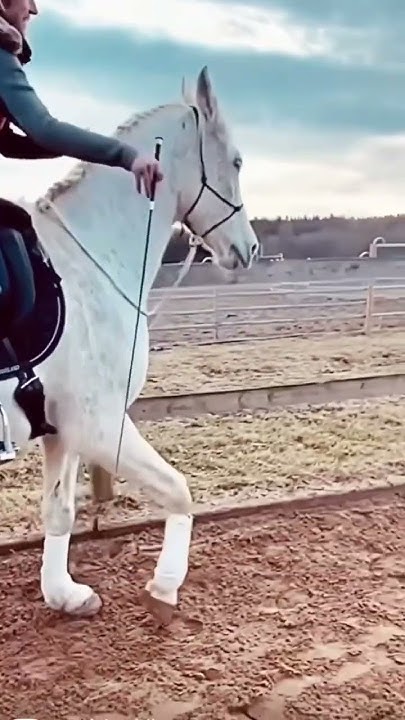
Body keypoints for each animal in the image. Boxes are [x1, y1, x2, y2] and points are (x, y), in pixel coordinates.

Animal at [0, 65, 258, 622]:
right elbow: (179, 491)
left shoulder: (65, 429)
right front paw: (164, 588)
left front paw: (66, 595)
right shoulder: (101, 425)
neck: (86, 262)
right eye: (236, 161)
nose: (248, 249)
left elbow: (59, 510)